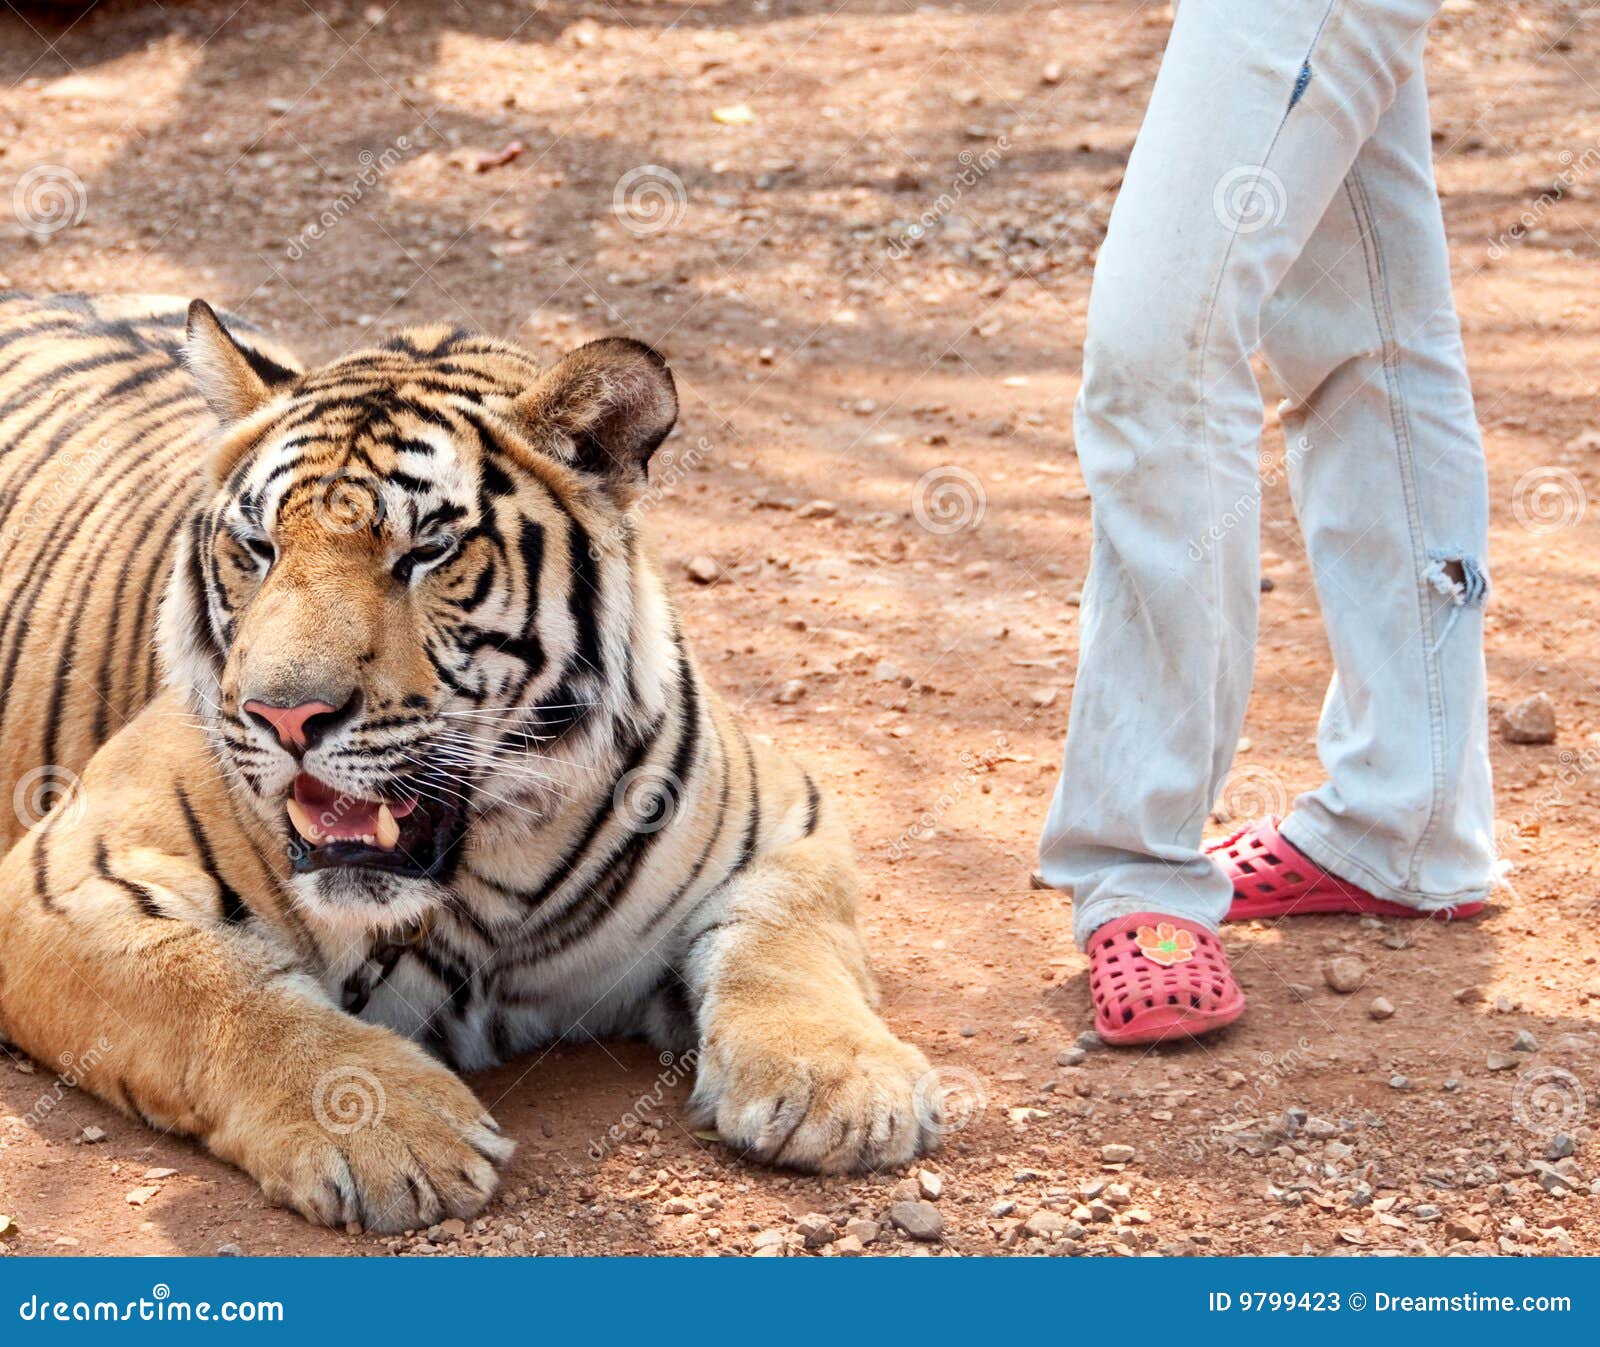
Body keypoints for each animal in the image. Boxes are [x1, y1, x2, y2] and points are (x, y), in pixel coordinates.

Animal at [0, 291, 939, 1233]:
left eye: (424, 553)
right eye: (259, 547)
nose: (282, 714)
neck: (487, 875)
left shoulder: (785, 813)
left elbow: (785, 935)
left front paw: (838, 1082)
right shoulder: (60, 877)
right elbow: (219, 986)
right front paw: (382, 1122)